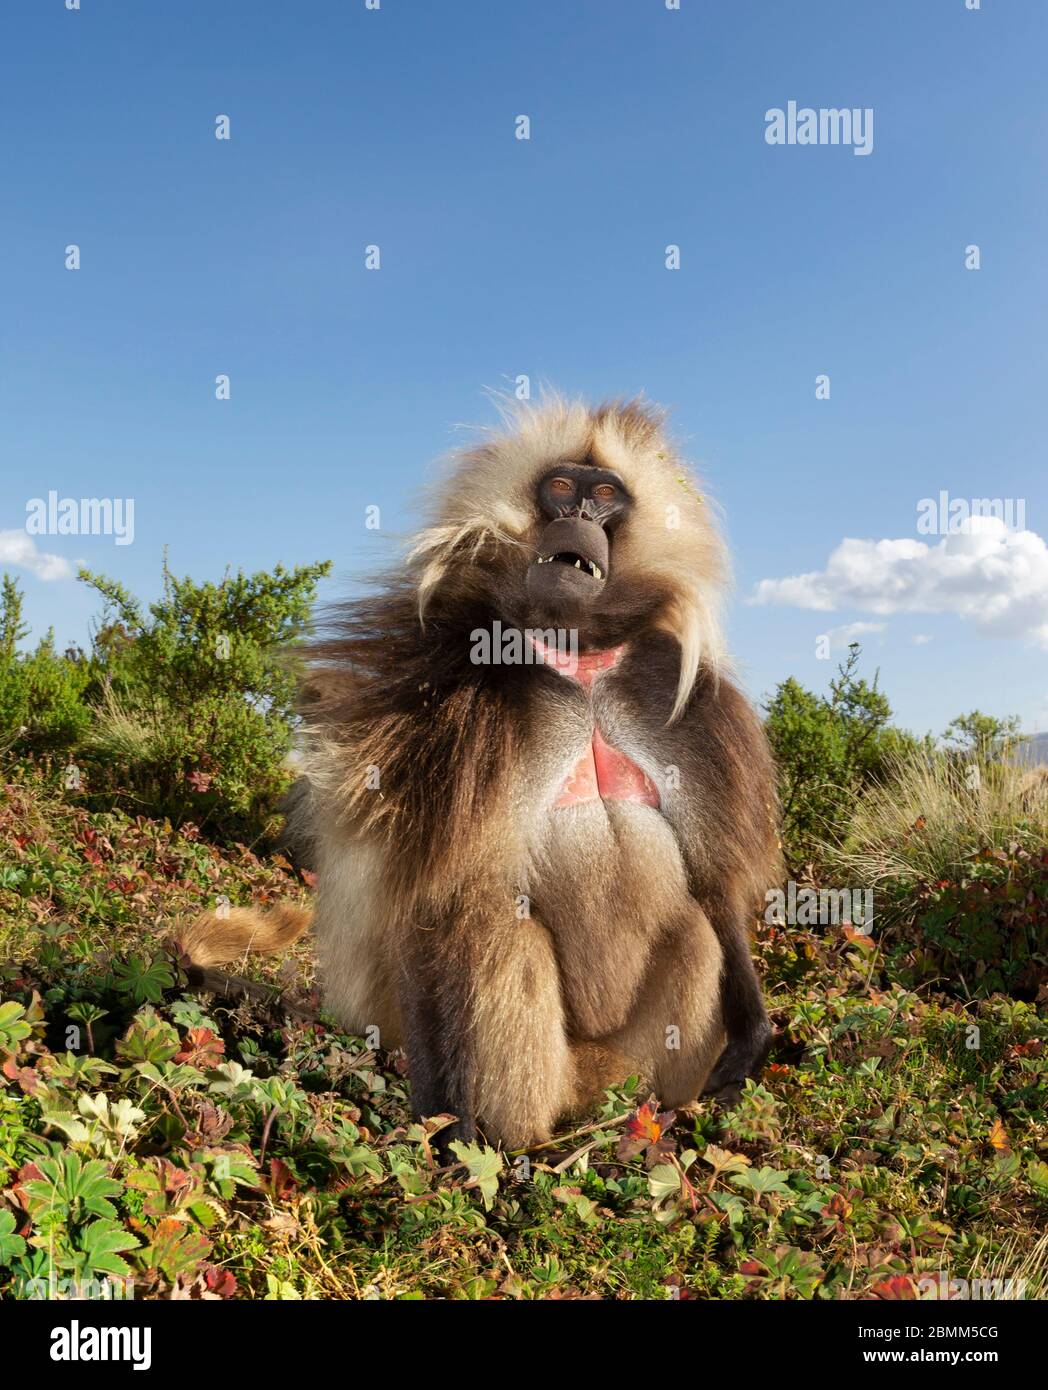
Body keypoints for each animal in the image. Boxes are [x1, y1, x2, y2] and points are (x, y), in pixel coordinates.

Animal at [179, 396, 780, 1151]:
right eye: (561, 487)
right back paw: (506, 1146)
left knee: (695, 931)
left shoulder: (674, 691)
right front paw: (446, 1133)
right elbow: (426, 905)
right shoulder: (433, 696)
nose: (579, 518)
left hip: (632, 1064)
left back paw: (646, 1132)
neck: (574, 656)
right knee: (497, 927)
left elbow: (711, 887)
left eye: (607, 495)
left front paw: (754, 1033)